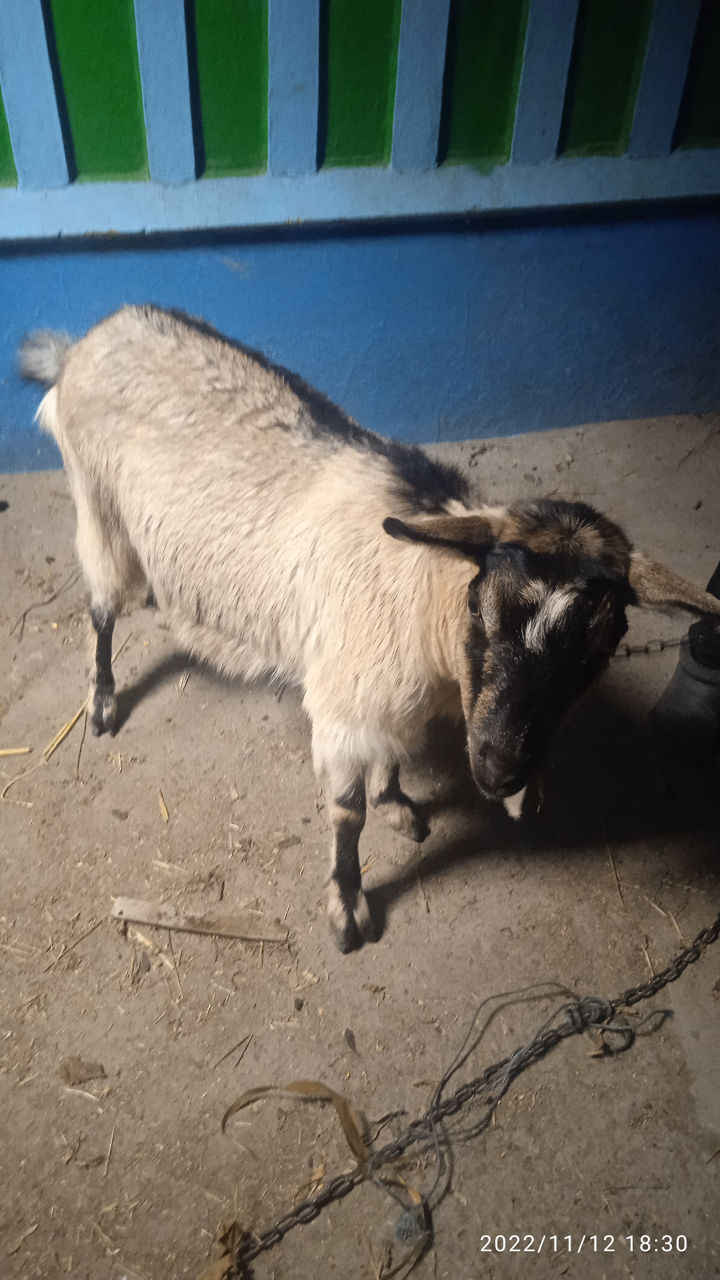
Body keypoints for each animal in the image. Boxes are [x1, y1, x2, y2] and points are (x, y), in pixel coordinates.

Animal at [20, 306, 720, 951]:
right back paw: (102, 700)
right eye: (480, 608)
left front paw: (396, 802)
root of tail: (85, 342)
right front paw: (348, 906)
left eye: (602, 648)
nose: (500, 771)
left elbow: (392, 756)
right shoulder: (345, 704)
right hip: (99, 509)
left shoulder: (386, 692)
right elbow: (346, 814)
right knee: (101, 608)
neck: (424, 592)